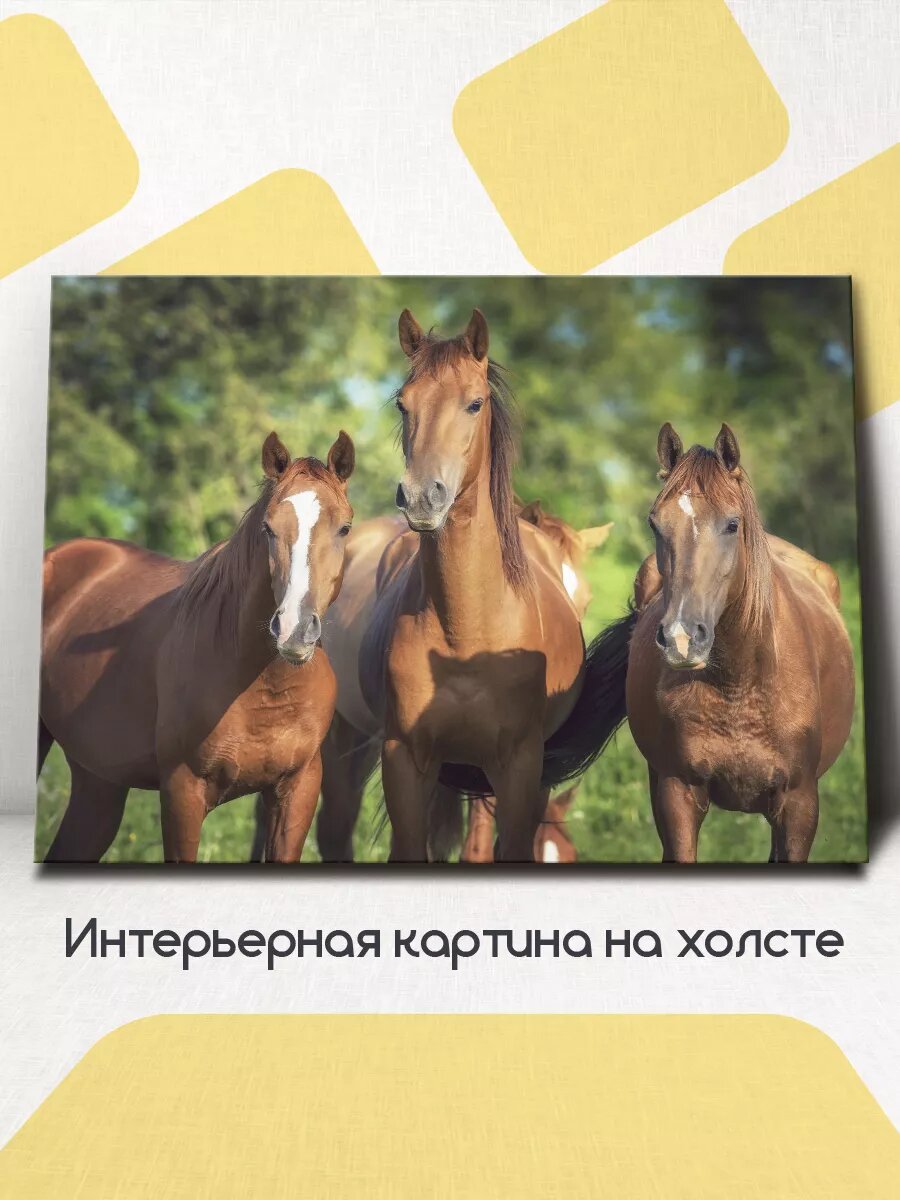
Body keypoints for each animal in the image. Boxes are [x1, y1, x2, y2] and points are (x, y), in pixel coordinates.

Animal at [39, 430, 356, 863]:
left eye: (344, 529)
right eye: (268, 528)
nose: (294, 629)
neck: (265, 685)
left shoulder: (297, 789)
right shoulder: (182, 792)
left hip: (99, 782)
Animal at [312, 308, 629, 863]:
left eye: (474, 403)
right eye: (403, 402)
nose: (422, 497)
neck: (466, 633)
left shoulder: (519, 768)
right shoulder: (404, 757)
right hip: (343, 736)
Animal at [625, 422, 854, 863]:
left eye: (733, 524)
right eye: (654, 524)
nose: (681, 638)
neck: (740, 683)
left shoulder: (799, 805)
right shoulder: (677, 795)